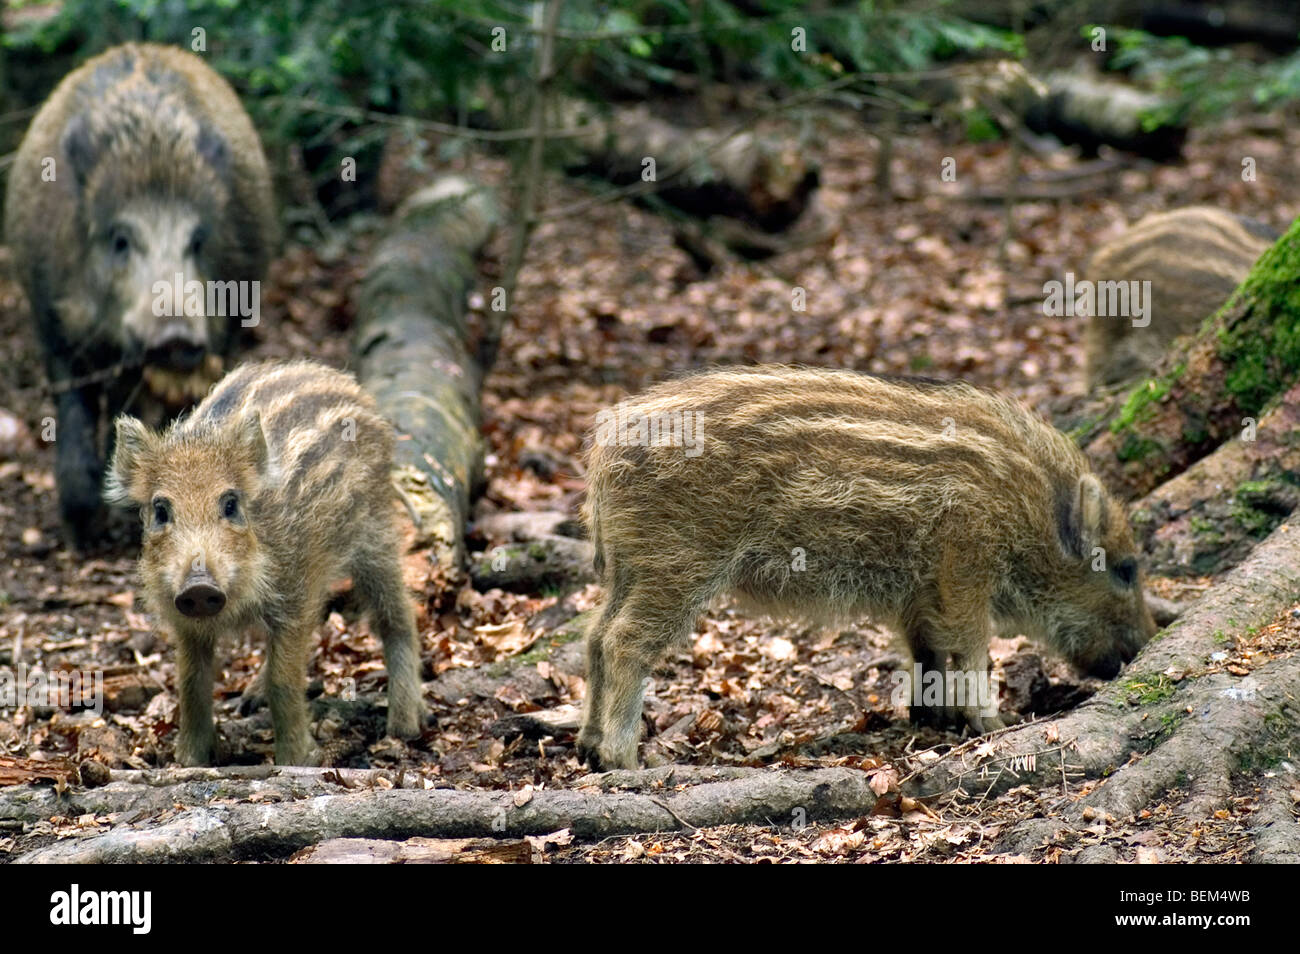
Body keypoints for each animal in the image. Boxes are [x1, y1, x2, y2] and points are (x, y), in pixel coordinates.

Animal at [4, 42, 277, 546]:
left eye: (197, 239)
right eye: (119, 239)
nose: (175, 336)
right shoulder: (55, 328)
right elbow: (74, 411)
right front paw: (82, 533)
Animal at [104, 360, 422, 766]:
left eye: (230, 503)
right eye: (160, 510)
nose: (199, 586)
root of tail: (347, 384)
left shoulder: (294, 593)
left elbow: (283, 681)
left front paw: (297, 761)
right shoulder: (184, 619)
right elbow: (191, 682)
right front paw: (189, 762)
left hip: (376, 534)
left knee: (397, 616)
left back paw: (406, 727)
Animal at [575, 365, 1158, 770]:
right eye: (1125, 569)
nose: (1142, 646)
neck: (1030, 507)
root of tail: (604, 451)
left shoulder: (922, 590)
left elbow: (928, 648)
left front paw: (933, 720)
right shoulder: (964, 564)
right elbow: (972, 646)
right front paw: (996, 723)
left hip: (629, 566)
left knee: (594, 636)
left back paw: (587, 748)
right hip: (677, 561)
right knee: (624, 641)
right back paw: (627, 760)